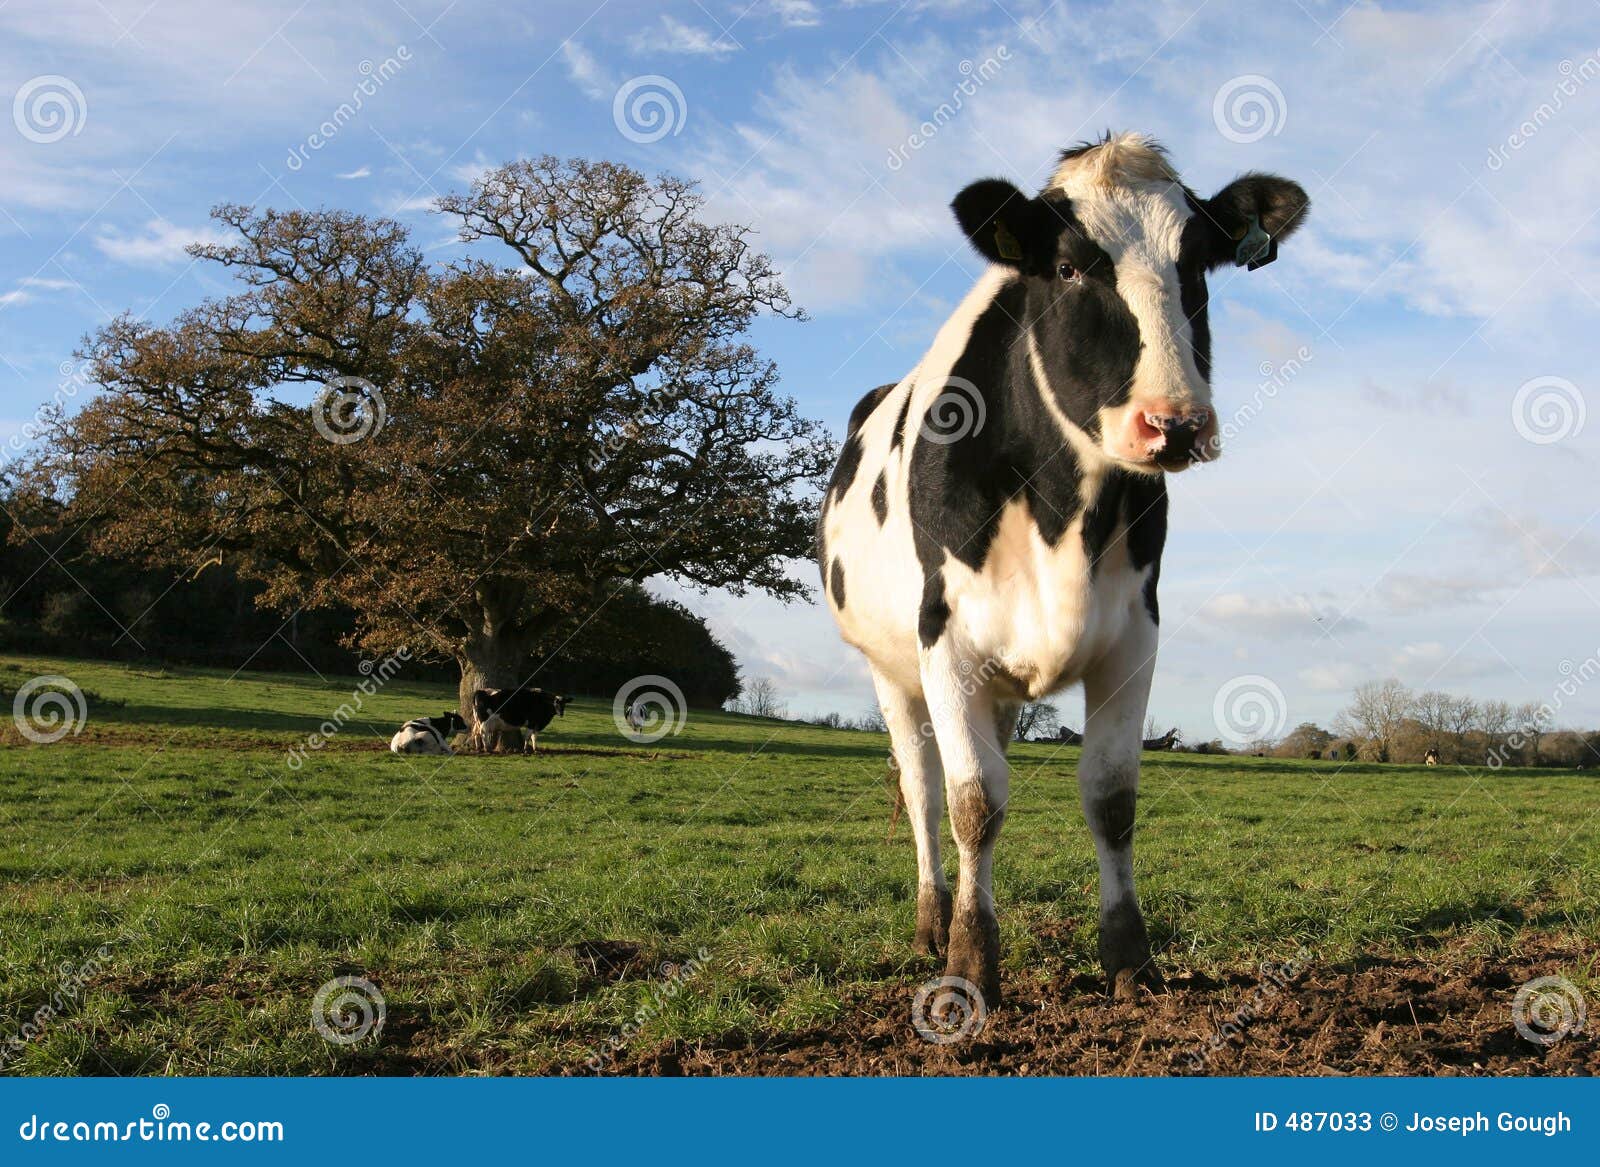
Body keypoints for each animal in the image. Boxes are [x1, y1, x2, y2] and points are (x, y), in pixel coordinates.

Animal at [818, 133, 1308, 1005]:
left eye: (1197, 265)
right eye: (1073, 267)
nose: (1175, 423)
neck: (1062, 519)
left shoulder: (1134, 636)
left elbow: (1110, 798)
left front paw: (1130, 960)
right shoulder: (946, 642)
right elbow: (973, 802)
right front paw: (969, 963)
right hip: (891, 670)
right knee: (922, 789)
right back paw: (930, 923)